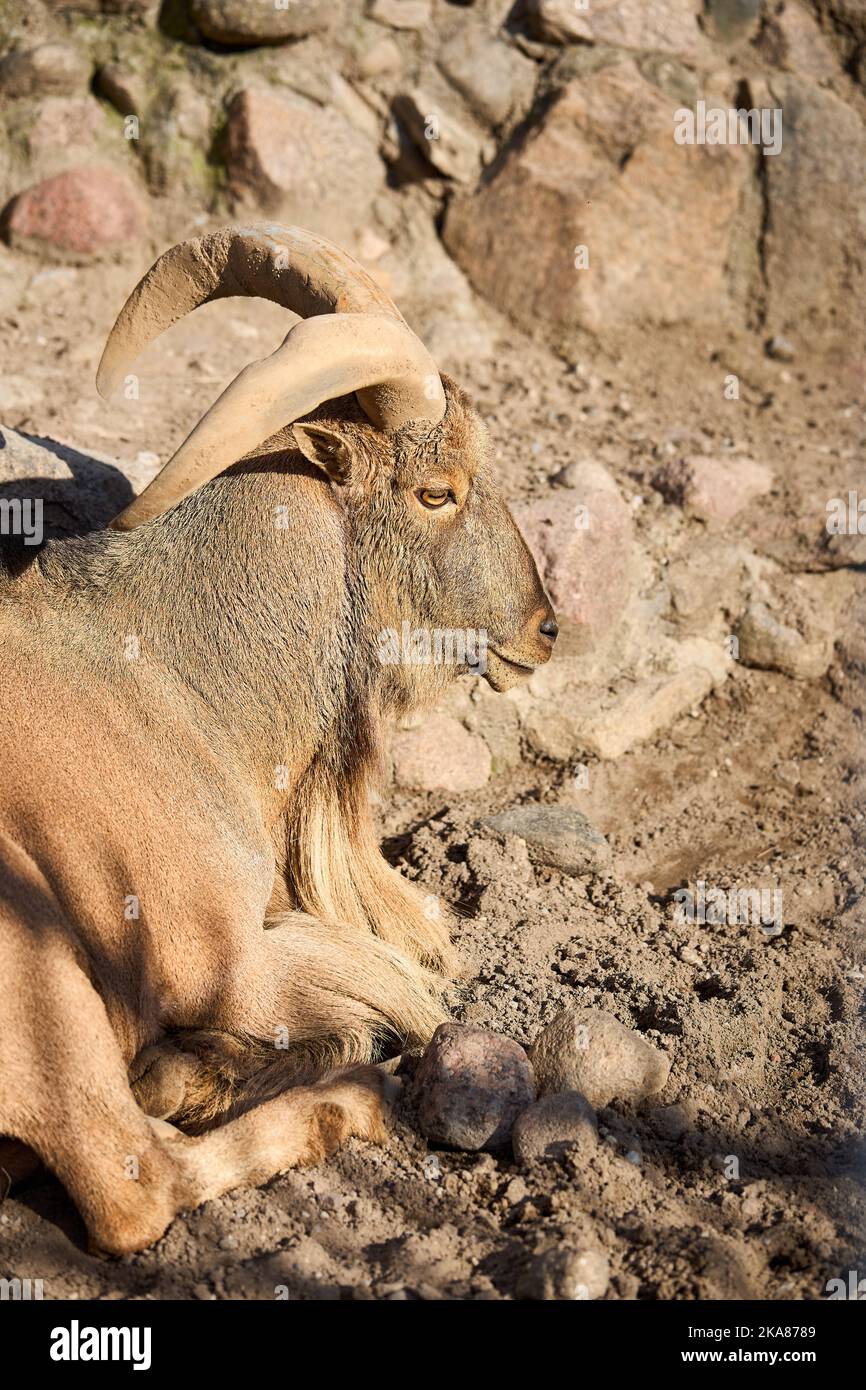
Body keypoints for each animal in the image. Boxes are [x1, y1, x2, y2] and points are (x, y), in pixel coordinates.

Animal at [0, 224, 557, 1253]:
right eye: (436, 491)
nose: (545, 628)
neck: (175, 675)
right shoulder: (233, 962)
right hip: (41, 981)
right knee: (133, 1186)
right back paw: (347, 1106)